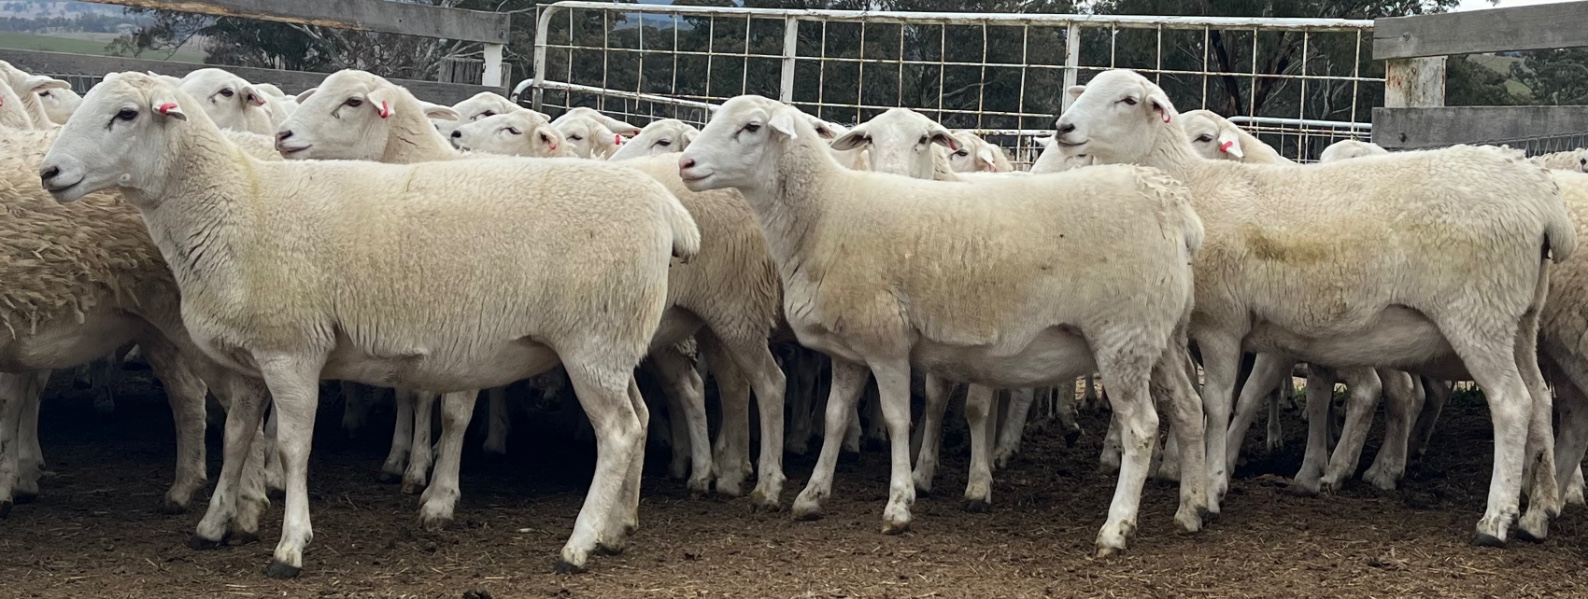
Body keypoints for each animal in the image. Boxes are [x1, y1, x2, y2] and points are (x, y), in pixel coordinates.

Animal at [42, 71, 701, 577]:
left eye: (126, 114)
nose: (49, 172)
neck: (237, 205)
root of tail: (665, 208)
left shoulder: (293, 352)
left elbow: (292, 447)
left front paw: (290, 545)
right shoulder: (250, 359)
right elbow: (234, 437)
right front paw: (215, 523)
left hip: (593, 345)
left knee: (618, 433)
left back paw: (579, 544)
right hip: (613, 344)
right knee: (641, 418)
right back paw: (618, 529)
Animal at [677, 93, 1209, 555]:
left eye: (751, 127)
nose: (685, 165)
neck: (827, 211)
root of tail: (1175, 205)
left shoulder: (887, 342)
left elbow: (897, 420)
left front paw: (898, 505)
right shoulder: (850, 350)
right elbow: (835, 417)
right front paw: (812, 495)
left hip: (1123, 338)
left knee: (1142, 427)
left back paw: (1116, 529)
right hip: (1160, 337)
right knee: (1188, 408)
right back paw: (1191, 511)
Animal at [1056, 68, 1574, 544]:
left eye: (1128, 100)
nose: (1063, 127)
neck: (1191, 185)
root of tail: (1542, 200)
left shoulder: (1222, 322)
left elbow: (1219, 402)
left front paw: (1211, 489)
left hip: (1477, 316)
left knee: (1511, 403)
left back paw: (1496, 519)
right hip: (1519, 319)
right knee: (1541, 400)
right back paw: (1539, 511)